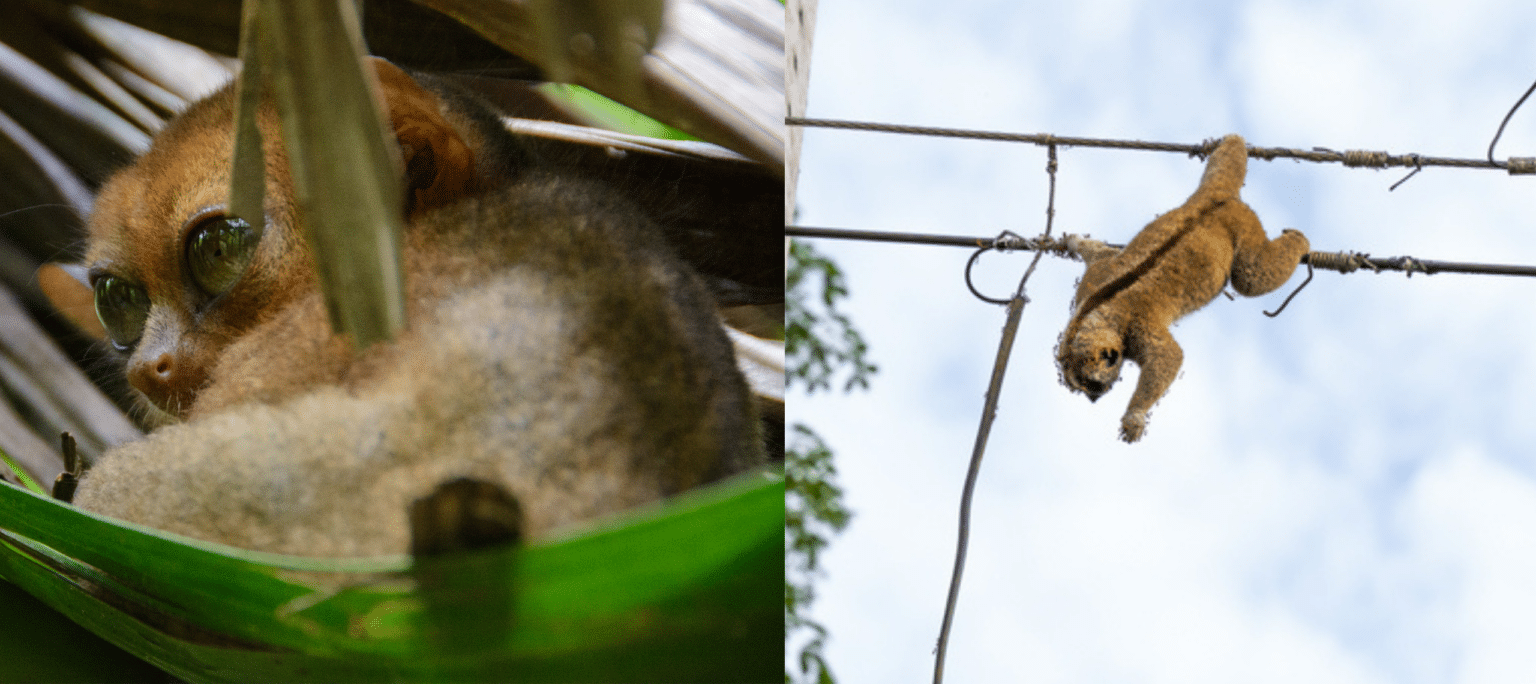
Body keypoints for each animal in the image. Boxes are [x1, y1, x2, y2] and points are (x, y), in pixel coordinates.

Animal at [1056, 134, 1309, 443]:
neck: (1095, 308)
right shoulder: (1095, 277)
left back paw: (1300, 240)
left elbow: (1169, 356)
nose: (1093, 399)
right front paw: (1072, 241)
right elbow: (1099, 253)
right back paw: (1225, 142)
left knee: (1252, 276)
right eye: (1083, 388)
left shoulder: (1136, 323)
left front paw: (1134, 417)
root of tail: (1217, 199)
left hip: (1244, 227)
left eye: (1091, 383)